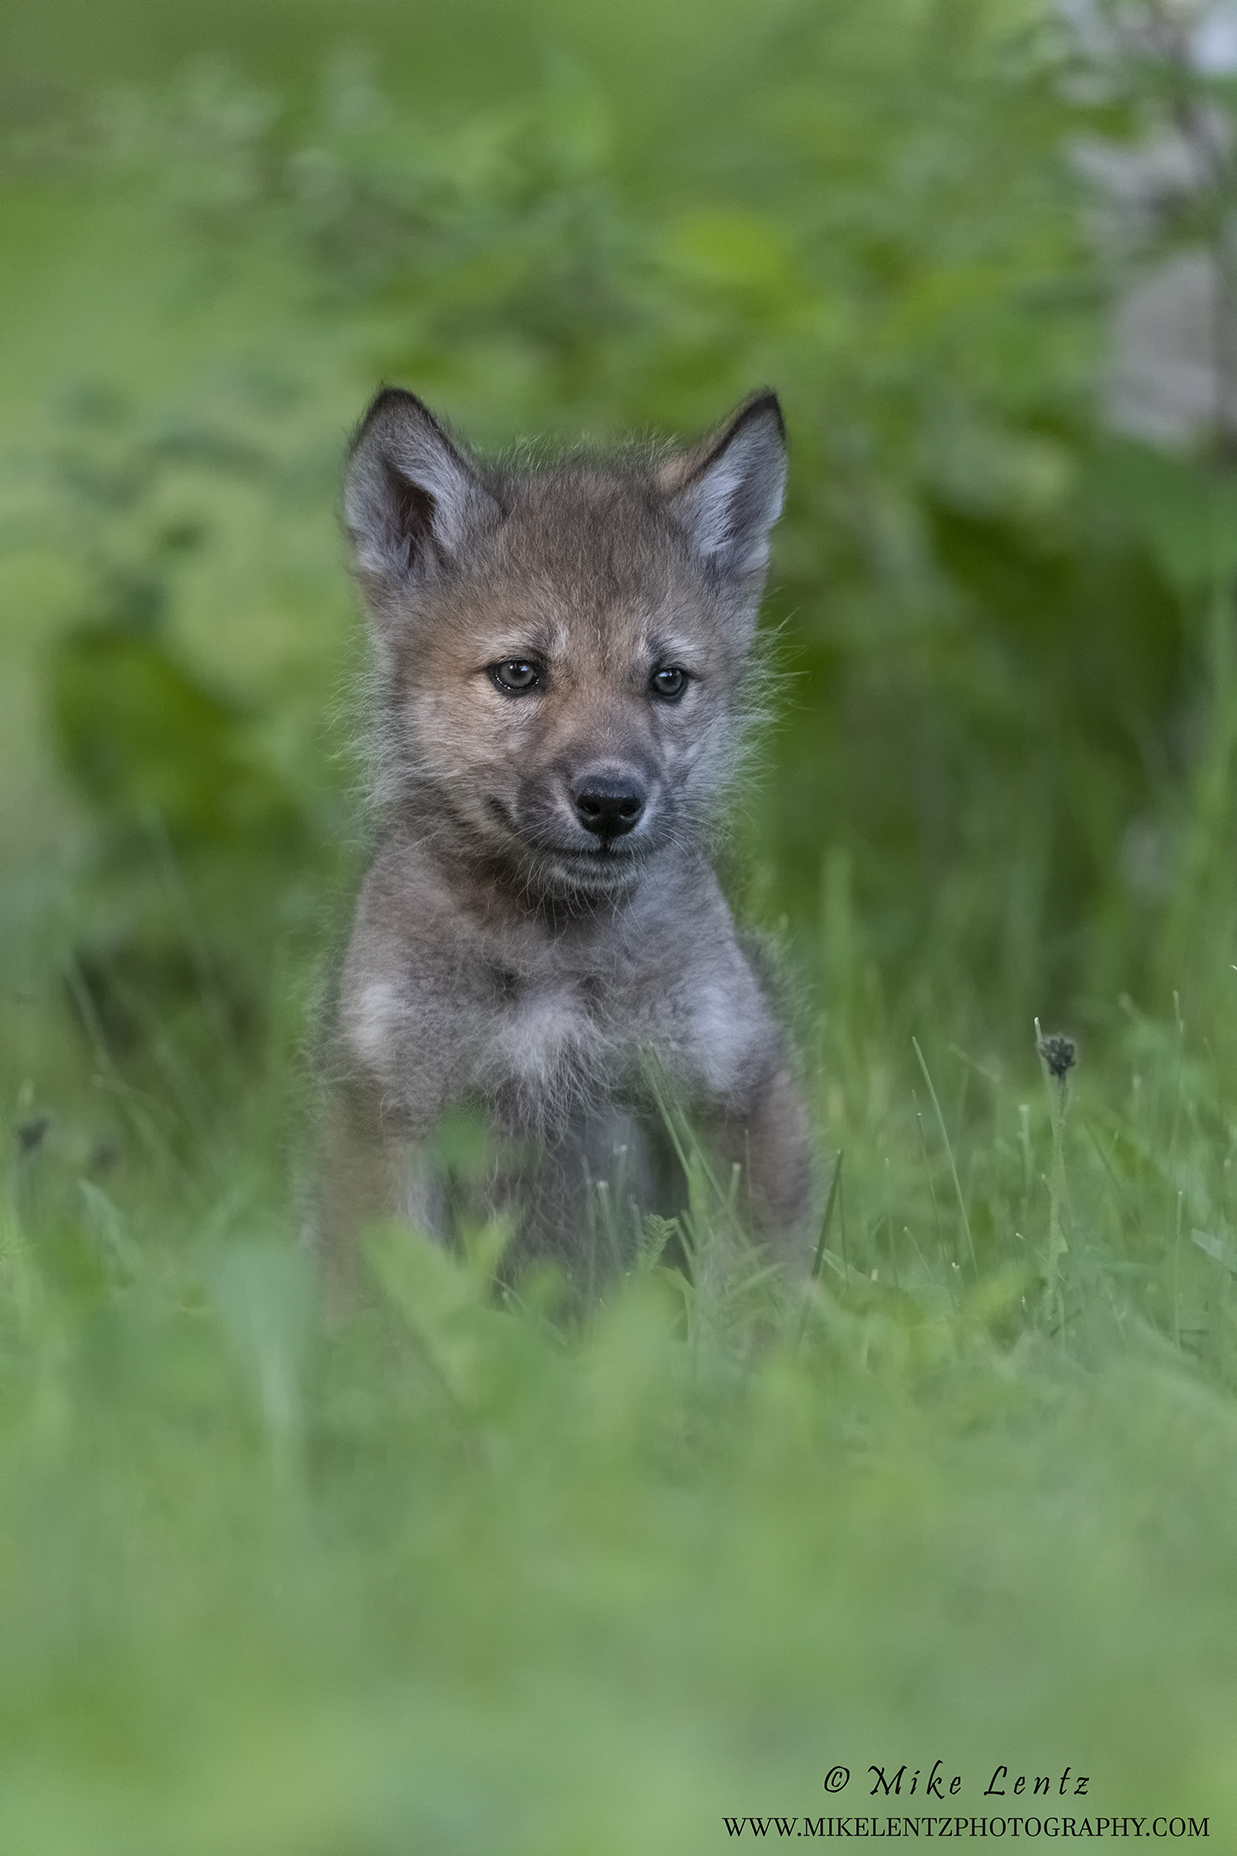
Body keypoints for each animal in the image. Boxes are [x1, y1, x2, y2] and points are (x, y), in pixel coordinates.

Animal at [318, 385, 814, 1295]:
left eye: (666, 681)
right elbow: (383, 1304)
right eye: (520, 673)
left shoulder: (736, 1090)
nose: (611, 802)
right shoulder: (386, 1112)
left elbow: (748, 1298)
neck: (550, 950)